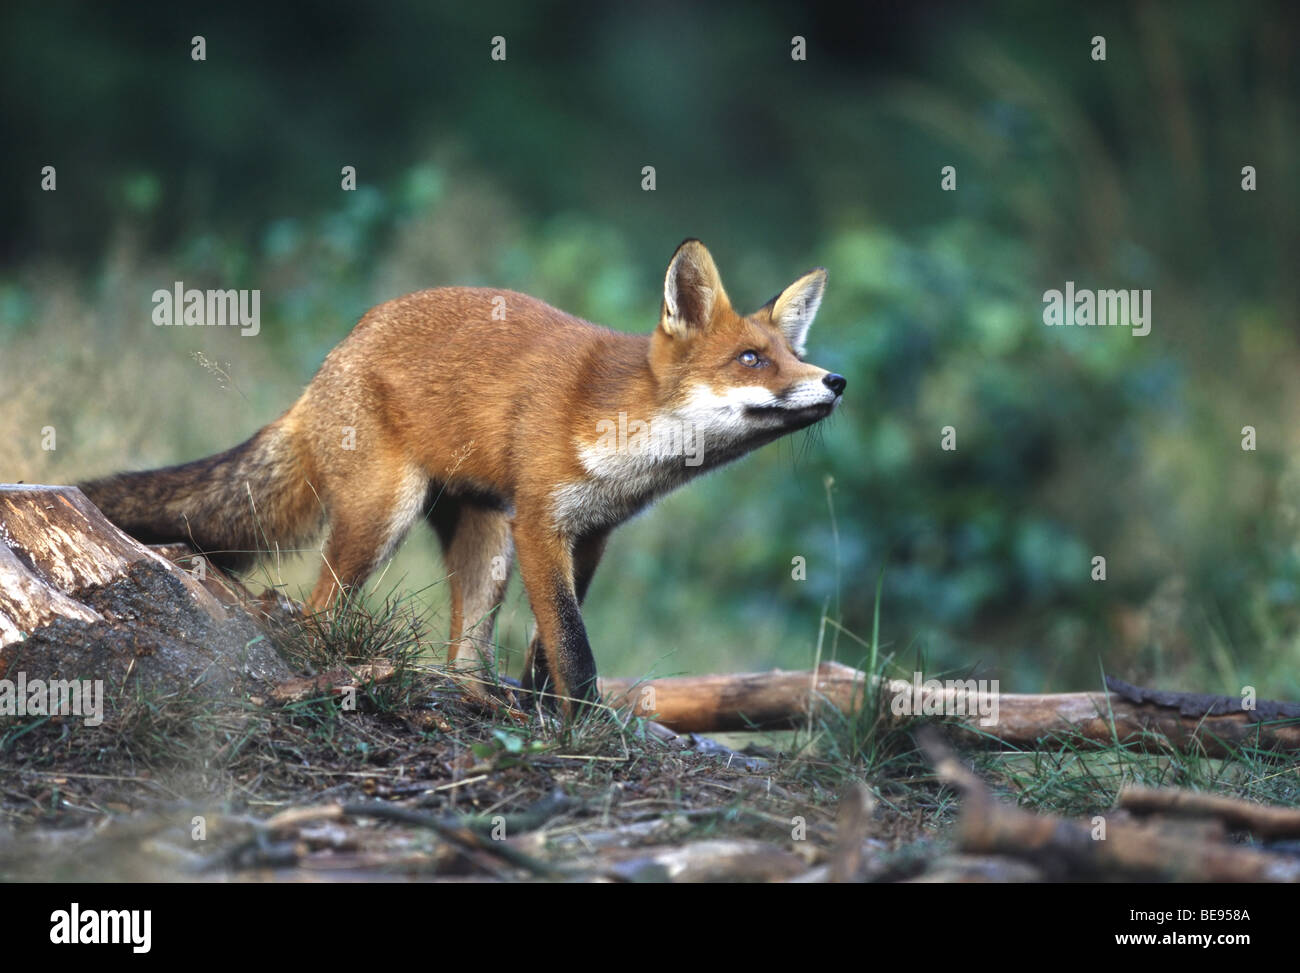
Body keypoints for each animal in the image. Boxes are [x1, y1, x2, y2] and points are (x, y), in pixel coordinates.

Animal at [79, 239, 845, 714]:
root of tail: (332, 359)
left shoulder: (591, 532)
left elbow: (549, 649)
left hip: (485, 545)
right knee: (319, 608)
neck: (625, 433)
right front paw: (591, 730)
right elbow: (575, 646)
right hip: (384, 518)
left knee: (463, 652)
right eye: (751, 359)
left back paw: (478, 699)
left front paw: (550, 715)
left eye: (790, 354)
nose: (836, 380)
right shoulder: (539, 522)